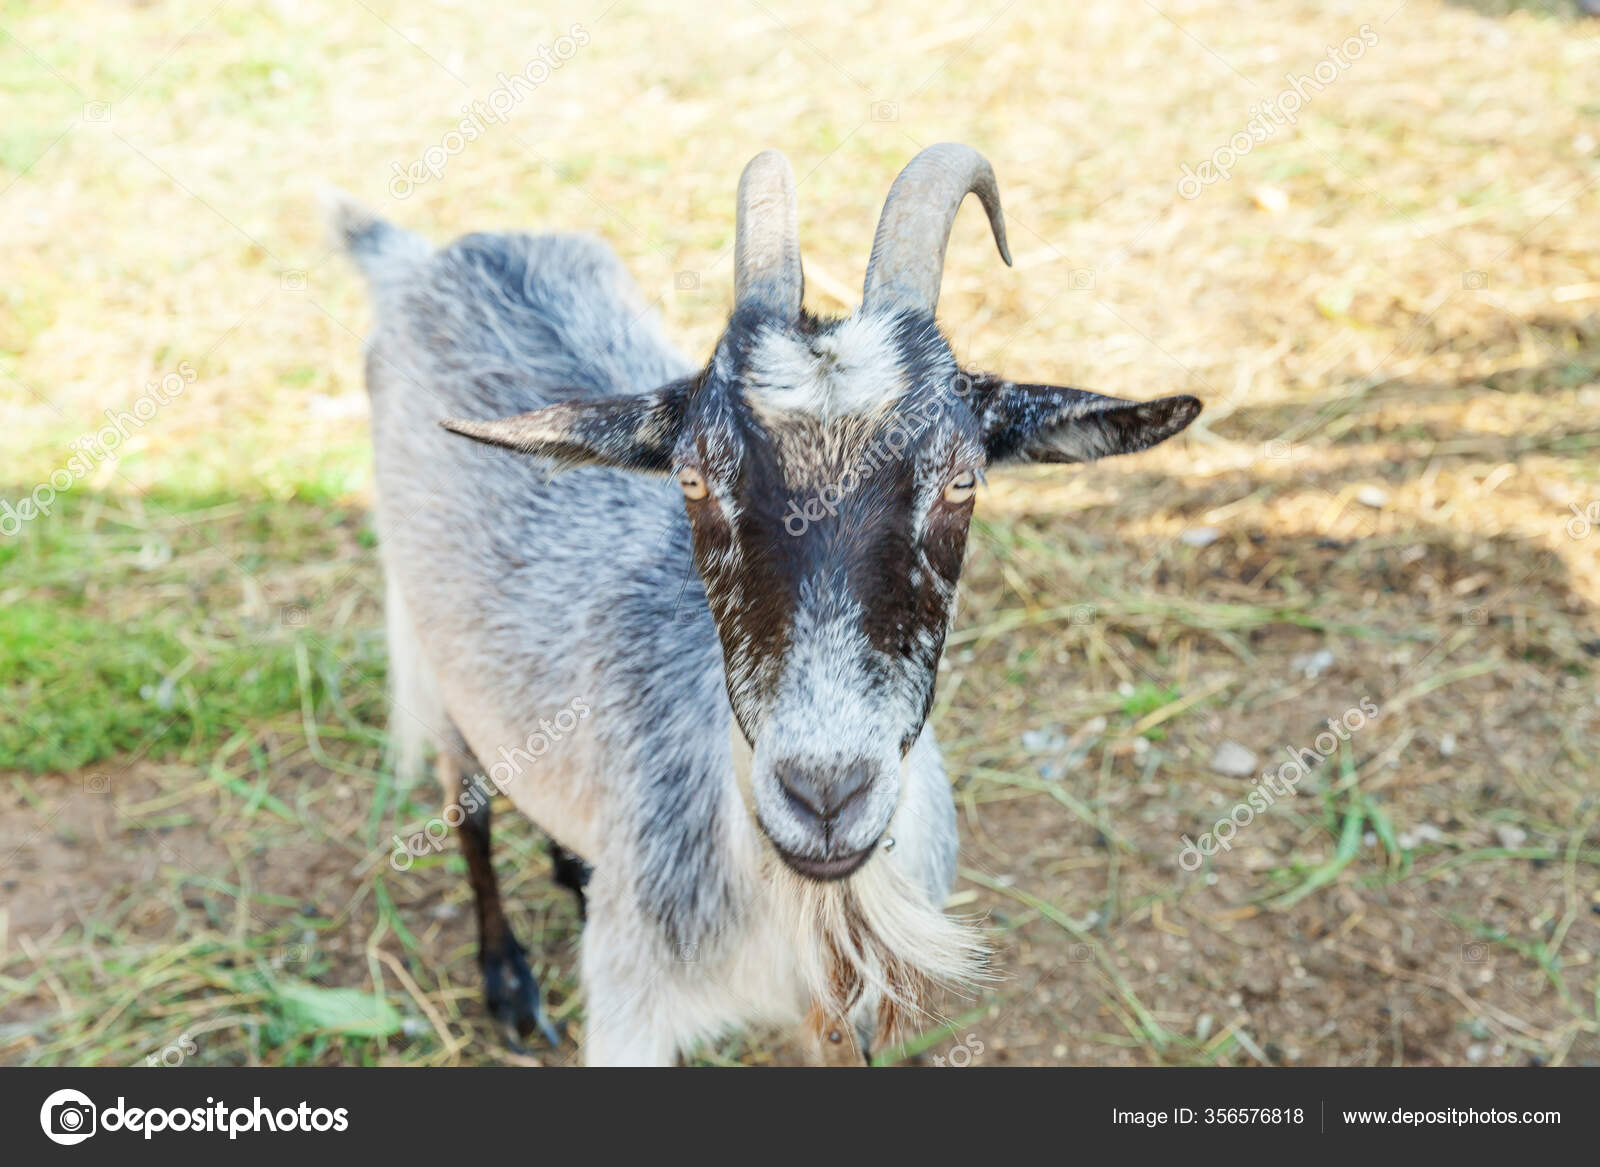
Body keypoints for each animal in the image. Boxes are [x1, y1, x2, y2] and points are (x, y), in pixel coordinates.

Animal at [332, 143, 1200, 1065]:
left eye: (962, 480)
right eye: (692, 478)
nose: (826, 797)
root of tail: (421, 258)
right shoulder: (630, 1014)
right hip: (435, 646)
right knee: (467, 803)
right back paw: (507, 981)